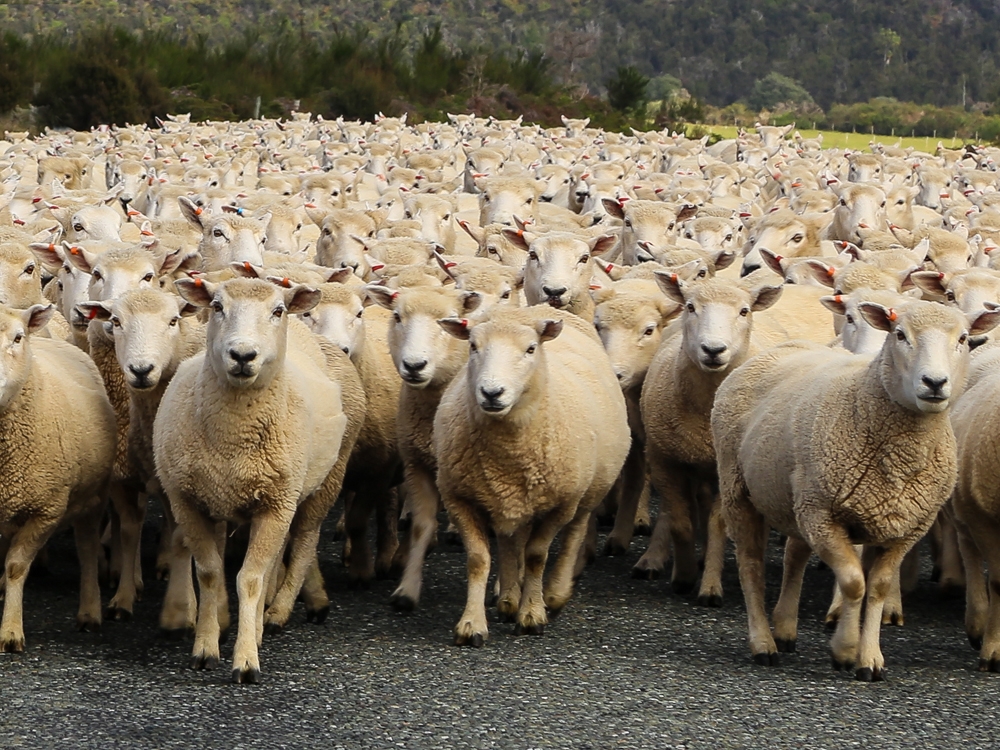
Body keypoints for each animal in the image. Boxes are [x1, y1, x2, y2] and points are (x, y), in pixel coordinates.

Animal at [0, 303, 116, 652]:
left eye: (18, 337)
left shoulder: (46, 511)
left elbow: (16, 566)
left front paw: (10, 631)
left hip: (94, 497)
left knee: (87, 548)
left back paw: (90, 612)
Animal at [153, 277, 364, 683]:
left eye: (277, 311)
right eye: (217, 306)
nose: (242, 354)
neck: (233, 436)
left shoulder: (275, 503)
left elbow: (249, 578)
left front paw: (246, 659)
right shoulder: (188, 501)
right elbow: (210, 571)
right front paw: (206, 645)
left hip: (322, 480)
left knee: (301, 542)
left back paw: (277, 613)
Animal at [434, 306, 630, 644]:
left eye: (530, 349)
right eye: (473, 346)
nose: (492, 392)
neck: (507, 455)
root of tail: (543, 308)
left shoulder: (559, 505)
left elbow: (538, 555)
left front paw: (532, 615)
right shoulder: (459, 498)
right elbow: (478, 559)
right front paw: (472, 623)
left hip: (587, 491)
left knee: (573, 534)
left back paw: (554, 594)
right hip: (507, 499)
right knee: (510, 540)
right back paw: (509, 598)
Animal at [712, 300, 998, 679]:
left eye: (963, 338)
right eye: (899, 334)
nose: (935, 382)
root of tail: (779, 350)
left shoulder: (904, 527)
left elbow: (877, 588)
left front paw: (870, 659)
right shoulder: (825, 516)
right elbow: (853, 582)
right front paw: (845, 650)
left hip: (796, 499)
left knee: (794, 555)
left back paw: (785, 627)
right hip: (739, 488)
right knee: (750, 564)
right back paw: (763, 643)